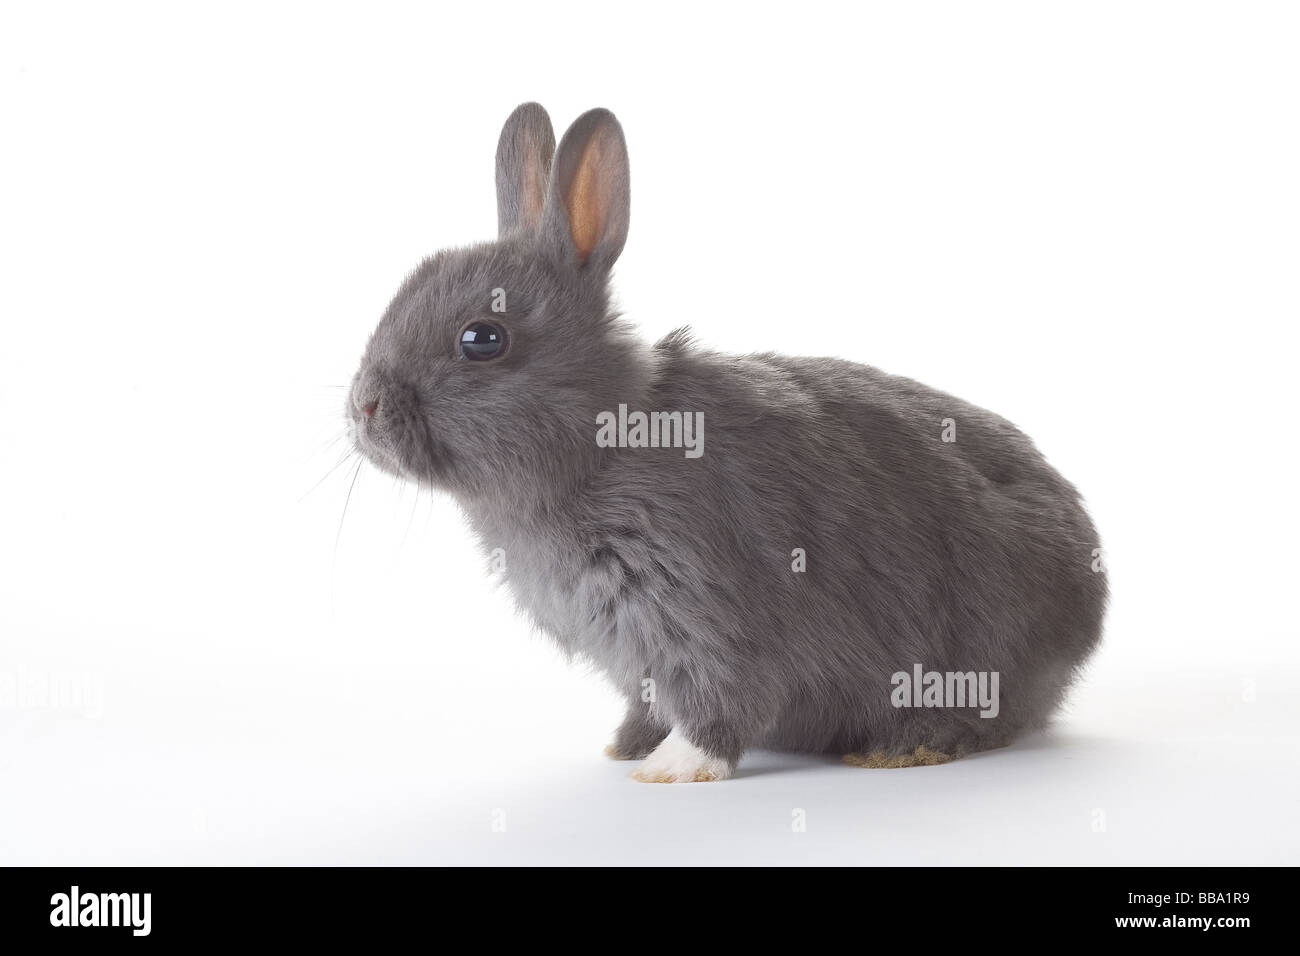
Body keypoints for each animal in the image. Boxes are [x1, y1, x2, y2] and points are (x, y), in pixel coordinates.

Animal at [345, 102, 1107, 783]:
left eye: (483, 338)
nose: (363, 408)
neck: (604, 445)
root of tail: (1092, 600)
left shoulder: (705, 606)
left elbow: (724, 696)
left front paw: (673, 768)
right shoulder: (641, 660)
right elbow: (649, 703)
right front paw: (626, 747)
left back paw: (900, 749)